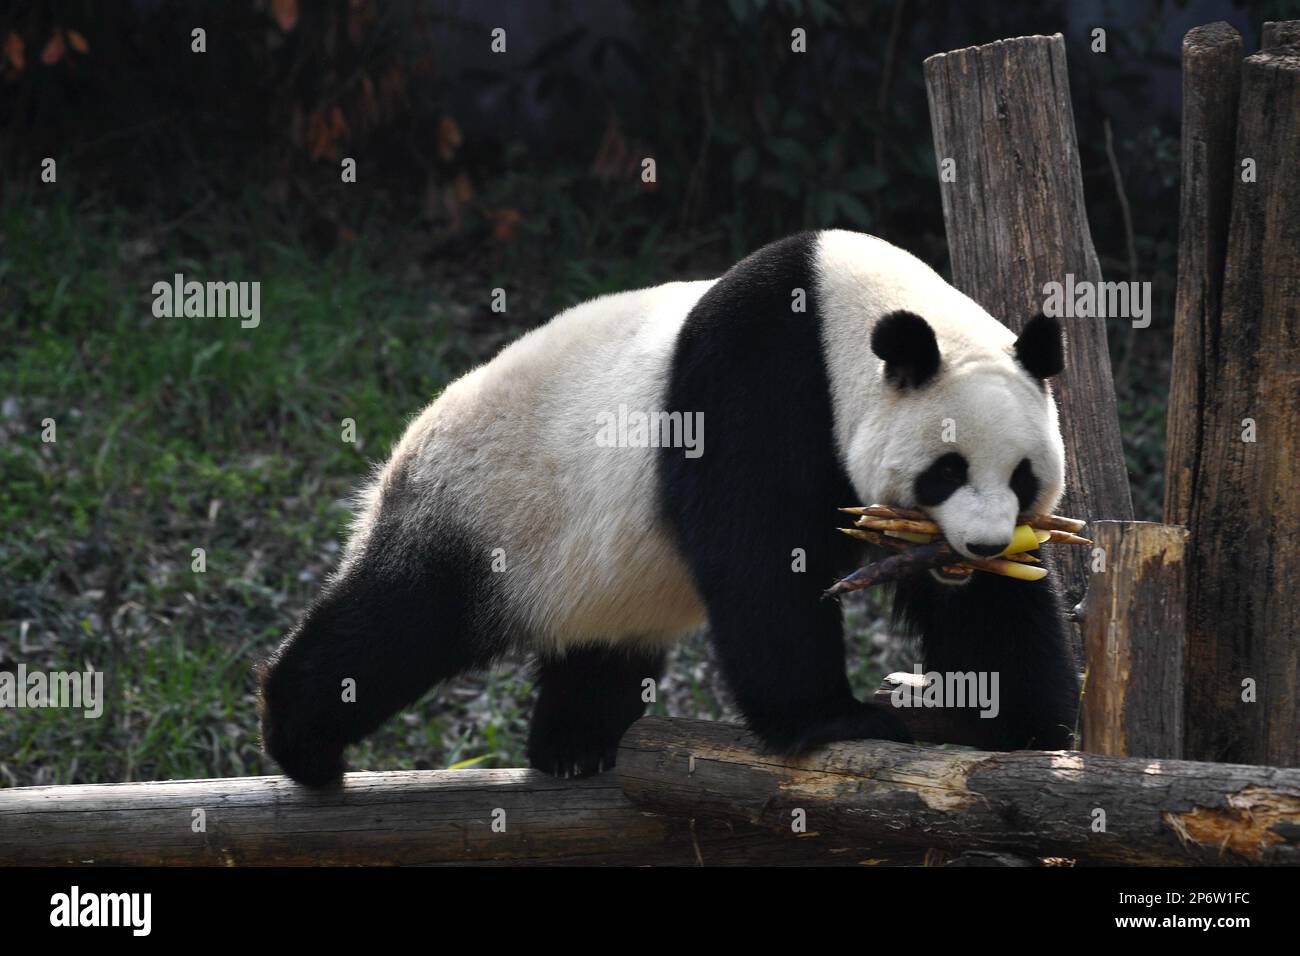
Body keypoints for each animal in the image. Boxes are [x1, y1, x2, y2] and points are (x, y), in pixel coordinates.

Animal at [257, 230, 1081, 785]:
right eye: (946, 471)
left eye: (1021, 478)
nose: (981, 547)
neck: (843, 319)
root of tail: (404, 448)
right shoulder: (755, 377)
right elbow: (757, 556)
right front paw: (831, 719)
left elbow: (987, 608)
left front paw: (1026, 723)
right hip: (482, 507)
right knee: (399, 623)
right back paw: (302, 740)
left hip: (593, 578)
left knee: (600, 654)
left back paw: (574, 747)